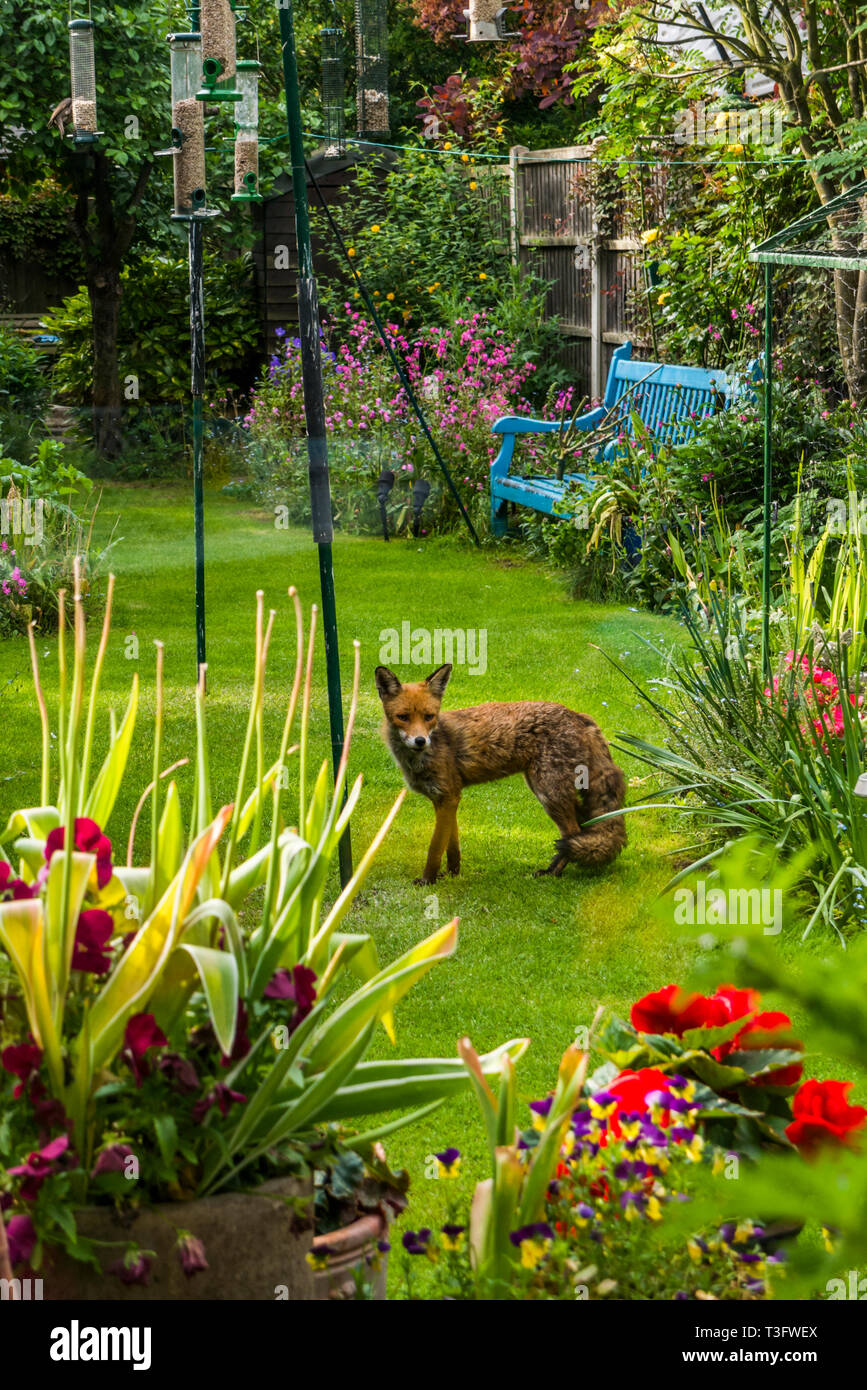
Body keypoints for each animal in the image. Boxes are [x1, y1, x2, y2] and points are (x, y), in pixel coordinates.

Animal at [374, 662, 627, 885]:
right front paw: (452, 875)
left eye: (429, 716)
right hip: (551, 788)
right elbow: (452, 844)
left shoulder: (448, 796)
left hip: (548, 792)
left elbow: (435, 848)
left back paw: (552, 873)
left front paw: (428, 881)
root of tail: (579, 715)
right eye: (403, 717)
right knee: (585, 826)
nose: (420, 741)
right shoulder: (446, 798)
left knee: (572, 832)